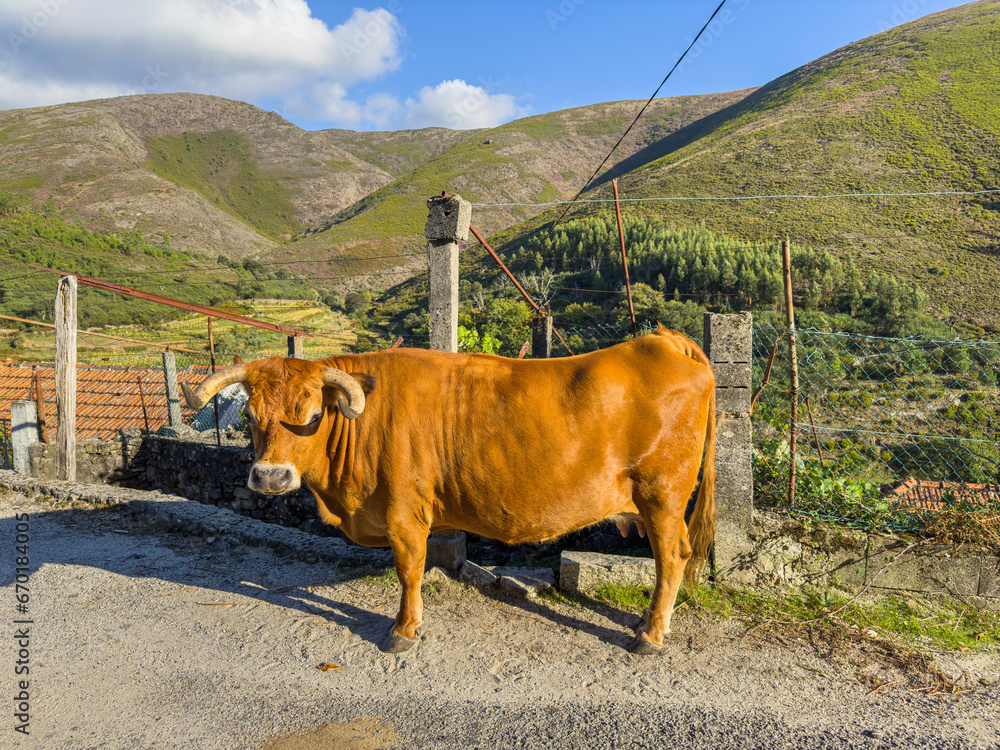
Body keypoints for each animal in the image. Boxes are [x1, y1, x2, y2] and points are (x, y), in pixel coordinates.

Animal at [181, 324, 717, 655]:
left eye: (312, 414)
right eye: (251, 415)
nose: (270, 477)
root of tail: (660, 340)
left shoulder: (403, 515)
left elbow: (409, 572)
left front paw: (404, 629)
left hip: (662, 497)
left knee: (672, 557)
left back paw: (650, 634)